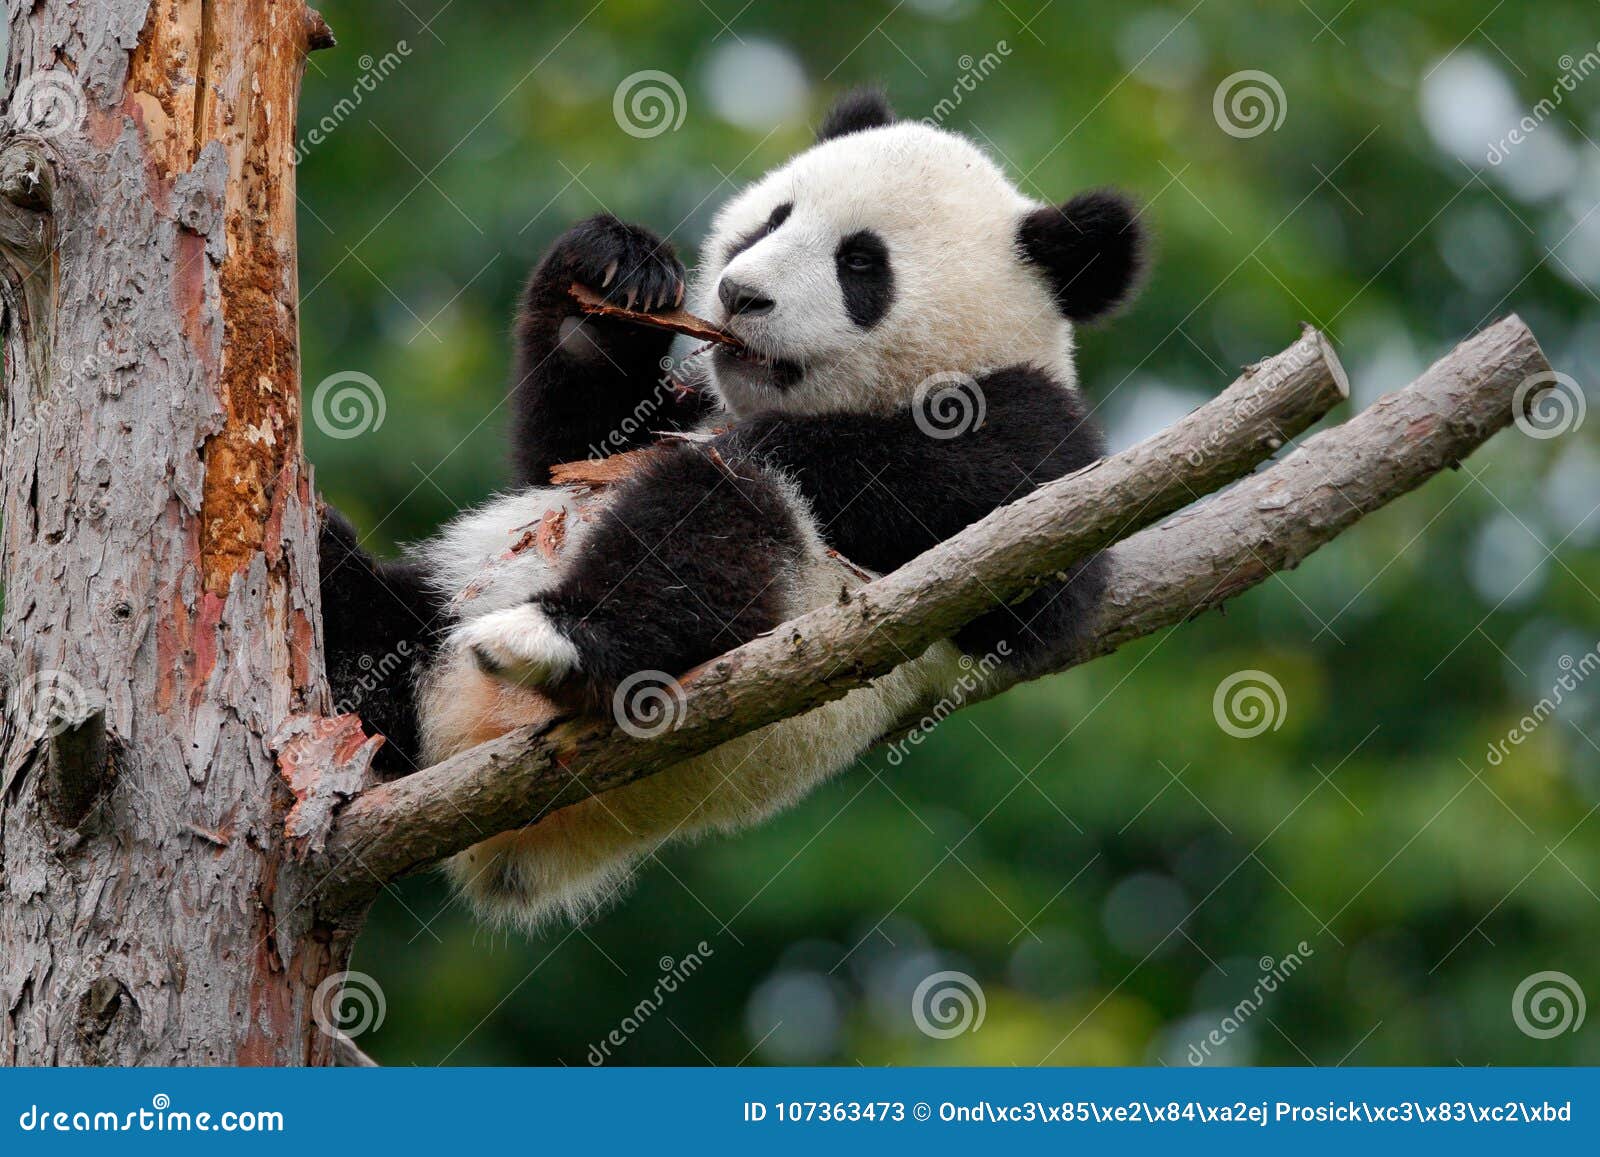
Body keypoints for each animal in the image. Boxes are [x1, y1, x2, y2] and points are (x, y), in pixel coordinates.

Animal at [318, 88, 1146, 929]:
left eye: (860, 263)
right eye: (773, 220)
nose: (740, 293)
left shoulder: (1041, 438)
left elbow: (1031, 571)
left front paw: (776, 441)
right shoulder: (664, 409)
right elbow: (568, 447)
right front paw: (612, 272)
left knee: (708, 527)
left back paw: (564, 637)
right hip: (443, 604)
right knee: (387, 618)